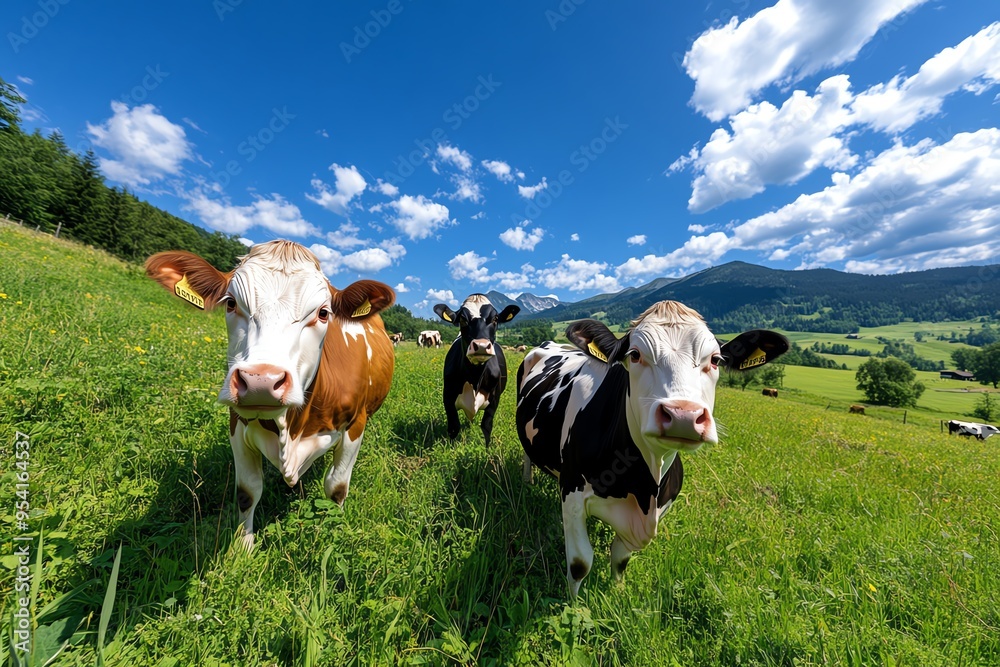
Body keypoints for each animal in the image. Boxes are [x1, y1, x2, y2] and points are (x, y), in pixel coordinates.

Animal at [145, 240, 395, 549]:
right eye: (230, 303)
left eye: (323, 313)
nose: (261, 381)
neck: (294, 428)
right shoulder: (237, 426)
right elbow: (247, 491)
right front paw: (242, 548)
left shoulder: (354, 426)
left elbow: (336, 487)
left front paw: (332, 535)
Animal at [434, 294, 519, 446]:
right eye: (462, 318)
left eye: (495, 318)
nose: (481, 346)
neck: (474, 378)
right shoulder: (448, 397)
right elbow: (454, 427)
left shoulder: (494, 399)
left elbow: (486, 426)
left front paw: (487, 449)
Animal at [516, 301, 788, 596]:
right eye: (635, 354)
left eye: (716, 360)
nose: (683, 416)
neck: (646, 488)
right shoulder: (572, 491)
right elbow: (580, 563)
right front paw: (573, 602)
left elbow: (620, 558)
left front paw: (618, 592)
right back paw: (527, 481)